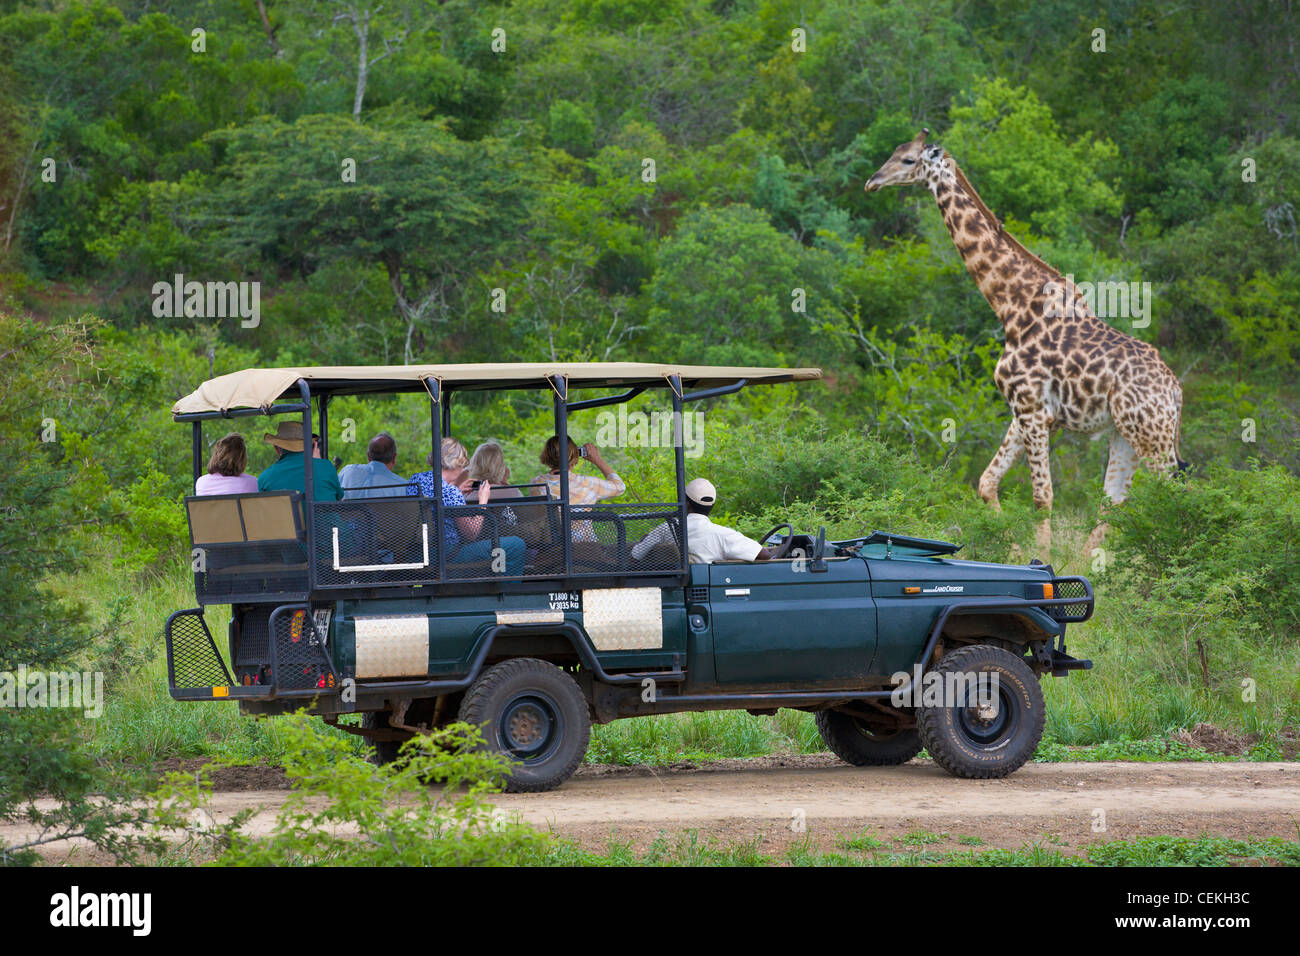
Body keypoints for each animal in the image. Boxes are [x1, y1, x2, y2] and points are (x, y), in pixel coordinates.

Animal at [863, 128, 1190, 554]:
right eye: (894, 152)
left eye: (907, 160)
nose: (872, 182)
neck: (1011, 307)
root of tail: (1175, 391)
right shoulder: (1026, 411)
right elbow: (987, 482)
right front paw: (1014, 549)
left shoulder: (1033, 409)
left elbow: (1042, 496)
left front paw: (1038, 558)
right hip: (1125, 433)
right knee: (1115, 501)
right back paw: (1095, 564)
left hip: (1152, 436)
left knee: (1175, 495)